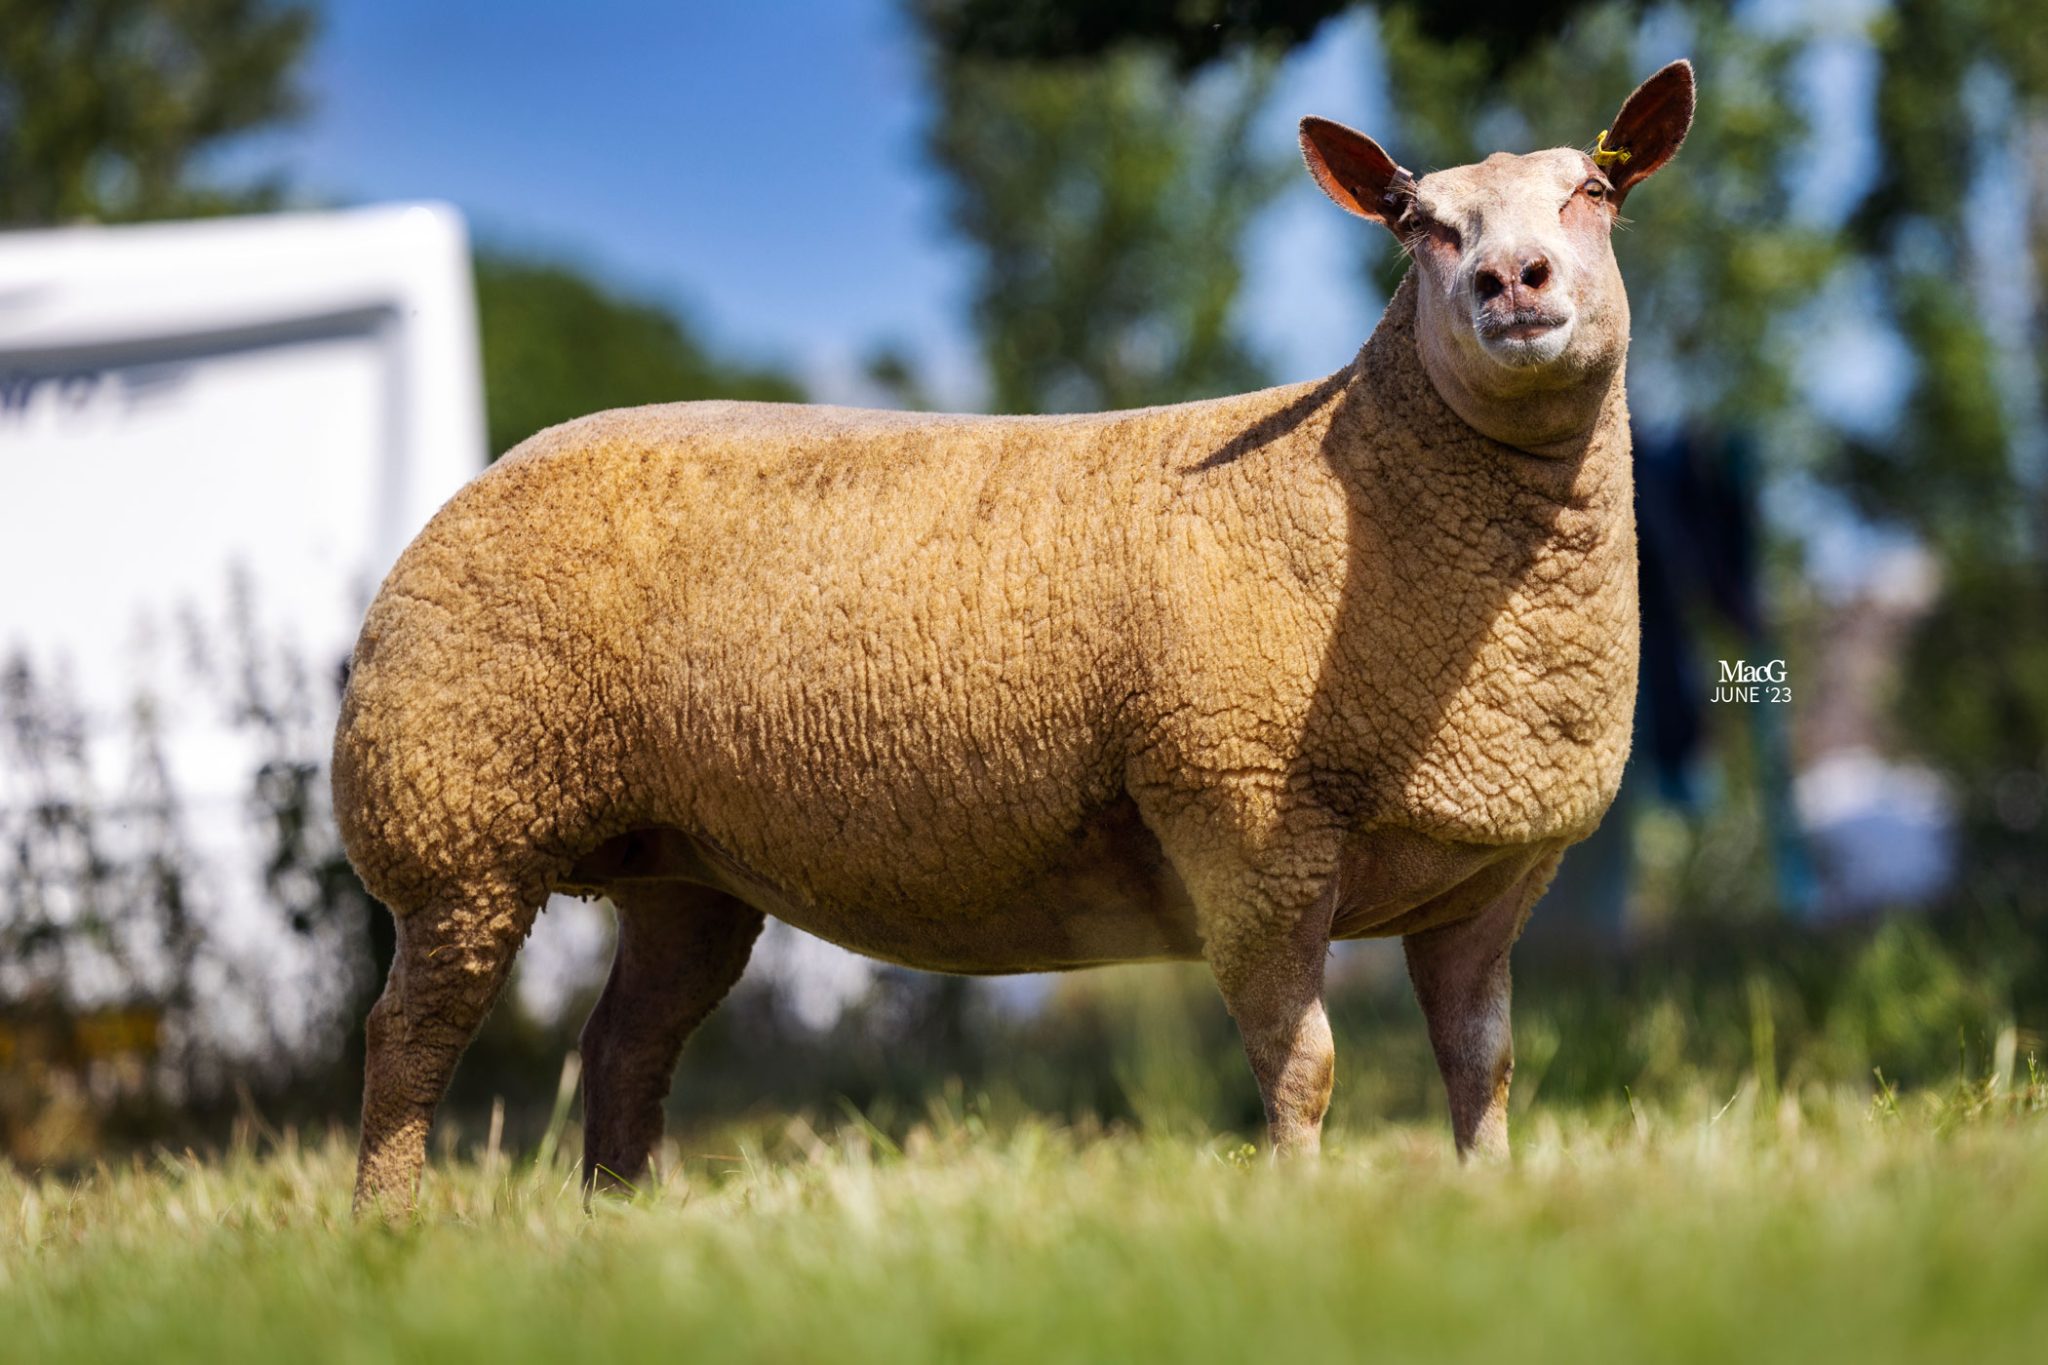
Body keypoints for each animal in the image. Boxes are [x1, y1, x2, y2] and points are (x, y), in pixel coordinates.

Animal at [336, 61, 1696, 1214]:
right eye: (1416, 223)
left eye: (1593, 191)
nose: (1511, 282)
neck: (1371, 483)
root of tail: (479, 479)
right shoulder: (1244, 820)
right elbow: (1298, 1064)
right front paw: (1294, 1213)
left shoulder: (1492, 872)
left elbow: (1483, 1065)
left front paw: (1487, 1205)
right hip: (459, 821)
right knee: (404, 1045)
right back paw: (386, 1233)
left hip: (678, 864)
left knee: (624, 1045)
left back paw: (618, 1224)